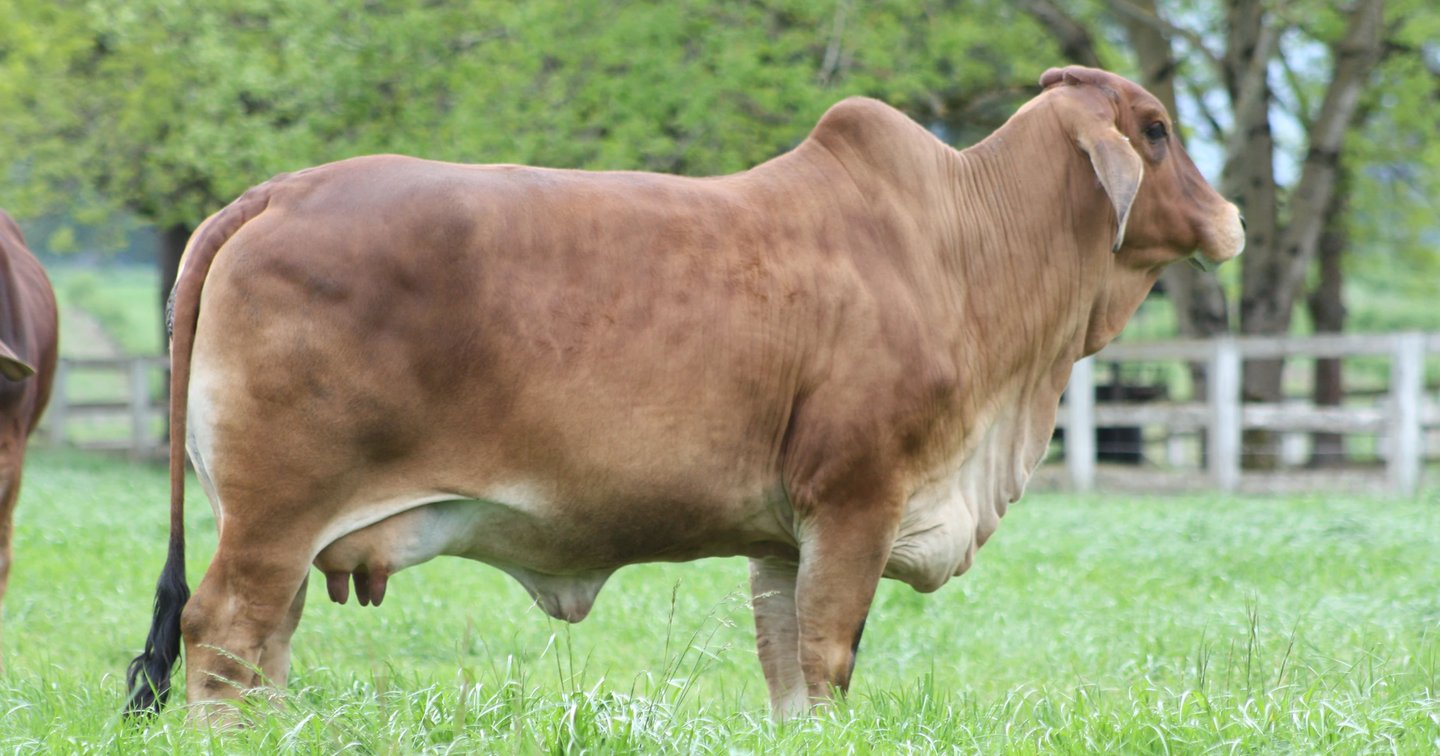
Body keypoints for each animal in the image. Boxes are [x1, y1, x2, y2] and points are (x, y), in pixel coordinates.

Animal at [125, 66, 1243, 720]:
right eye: (1157, 130)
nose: (1230, 216)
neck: (967, 252)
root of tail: (275, 192)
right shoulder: (855, 503)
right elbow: (830, 660)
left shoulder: (784, 541)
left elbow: (789, 672)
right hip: (273, 520)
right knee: (222, 639)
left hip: (277, 531)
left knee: (265, 647)